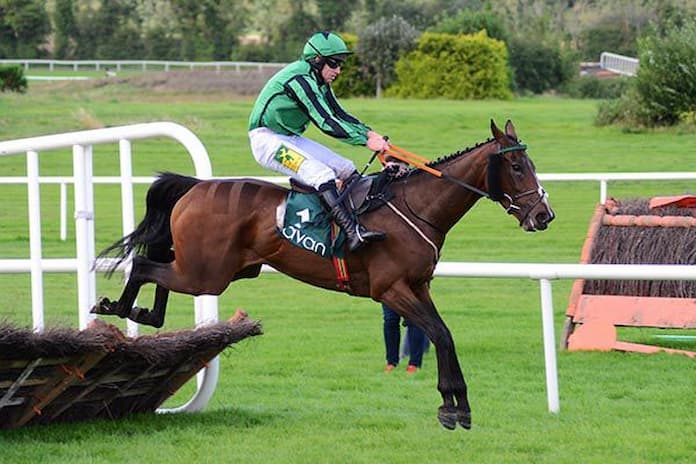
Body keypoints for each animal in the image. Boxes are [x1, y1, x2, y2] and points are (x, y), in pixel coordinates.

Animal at [93, 119, 555, 430]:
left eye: (531, 162)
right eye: (517, 166)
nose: (544, 215)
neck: (415, 206)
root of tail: (196, 186)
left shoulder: (418, 286)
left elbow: (445, 334)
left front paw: (458, 405)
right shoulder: (390, 290)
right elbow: (439, 334)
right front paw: (451, 407)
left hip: (219, 269)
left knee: (157, 262)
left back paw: (145, 314)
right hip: (206, 274)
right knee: (144, 265)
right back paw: (119, 306)